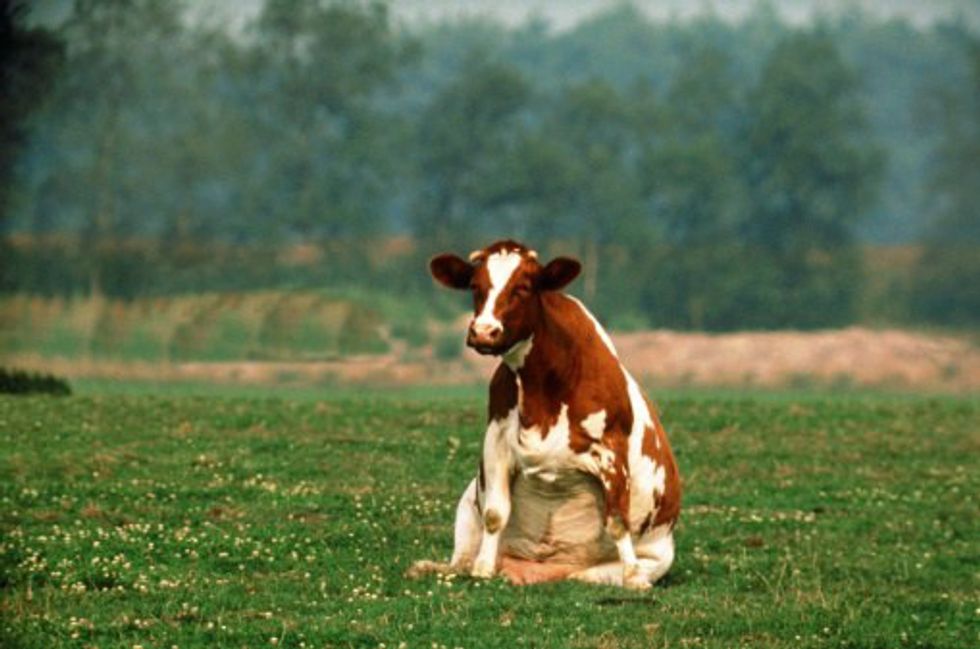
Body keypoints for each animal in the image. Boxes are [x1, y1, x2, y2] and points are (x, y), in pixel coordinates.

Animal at [409, 239, 680, 589]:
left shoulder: (611, 450)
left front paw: (633, 578)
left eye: (524, 287)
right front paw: (482, 569)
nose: (483, 331)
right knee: (460, 560)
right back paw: (432, 567)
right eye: (475, 286)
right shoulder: (495, 440)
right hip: (467, 506)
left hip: (652, 560)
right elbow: (495, 514)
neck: (544, 389)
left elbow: (618, 520)